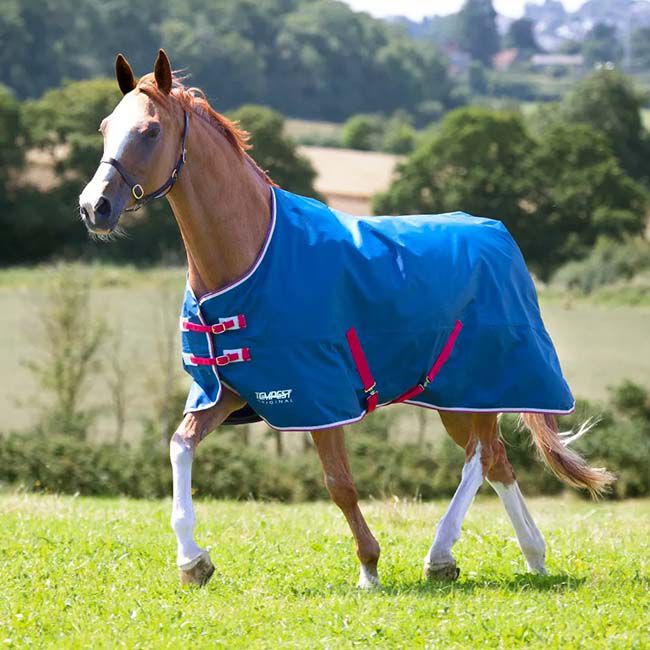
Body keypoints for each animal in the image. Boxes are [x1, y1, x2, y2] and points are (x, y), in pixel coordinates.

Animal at [79, 50, 614, 588]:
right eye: (105, 127)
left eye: (149, 131)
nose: (93, 206)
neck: (251, 254)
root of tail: (500, 236)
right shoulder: (226, 391)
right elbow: (179, 445)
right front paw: (194, 561)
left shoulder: (321, 397)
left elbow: (339, 483)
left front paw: (369, 567)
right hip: (458, 397)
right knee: (496, 461)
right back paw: (533, 556)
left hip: (482, 382)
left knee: (479, 459)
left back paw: (442, 554)